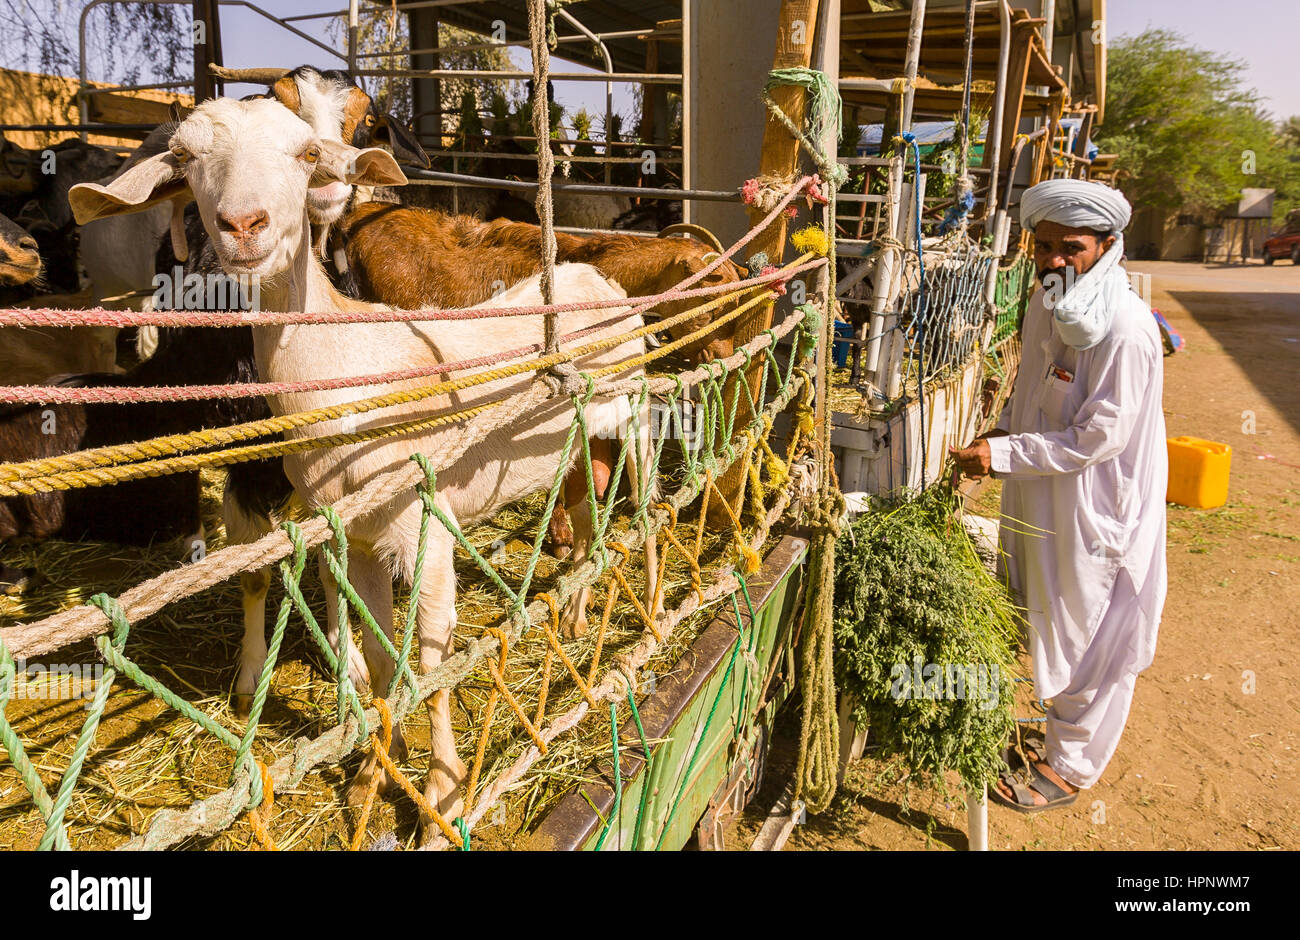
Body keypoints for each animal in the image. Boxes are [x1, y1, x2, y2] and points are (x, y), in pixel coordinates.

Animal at [70, 96, 658, 836]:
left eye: (304, 154)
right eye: (183, 156)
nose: (243, 225)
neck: (346, 364)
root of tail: (591, 274)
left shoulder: (424, 523)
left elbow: (432, 657)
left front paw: (442, 794)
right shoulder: (351, 533)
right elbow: (379, 653)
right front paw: (377, 772)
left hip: (633, 407)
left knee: (647, 502)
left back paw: (654, 606)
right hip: (572, 441)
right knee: (584, 512)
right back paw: (579, 611)